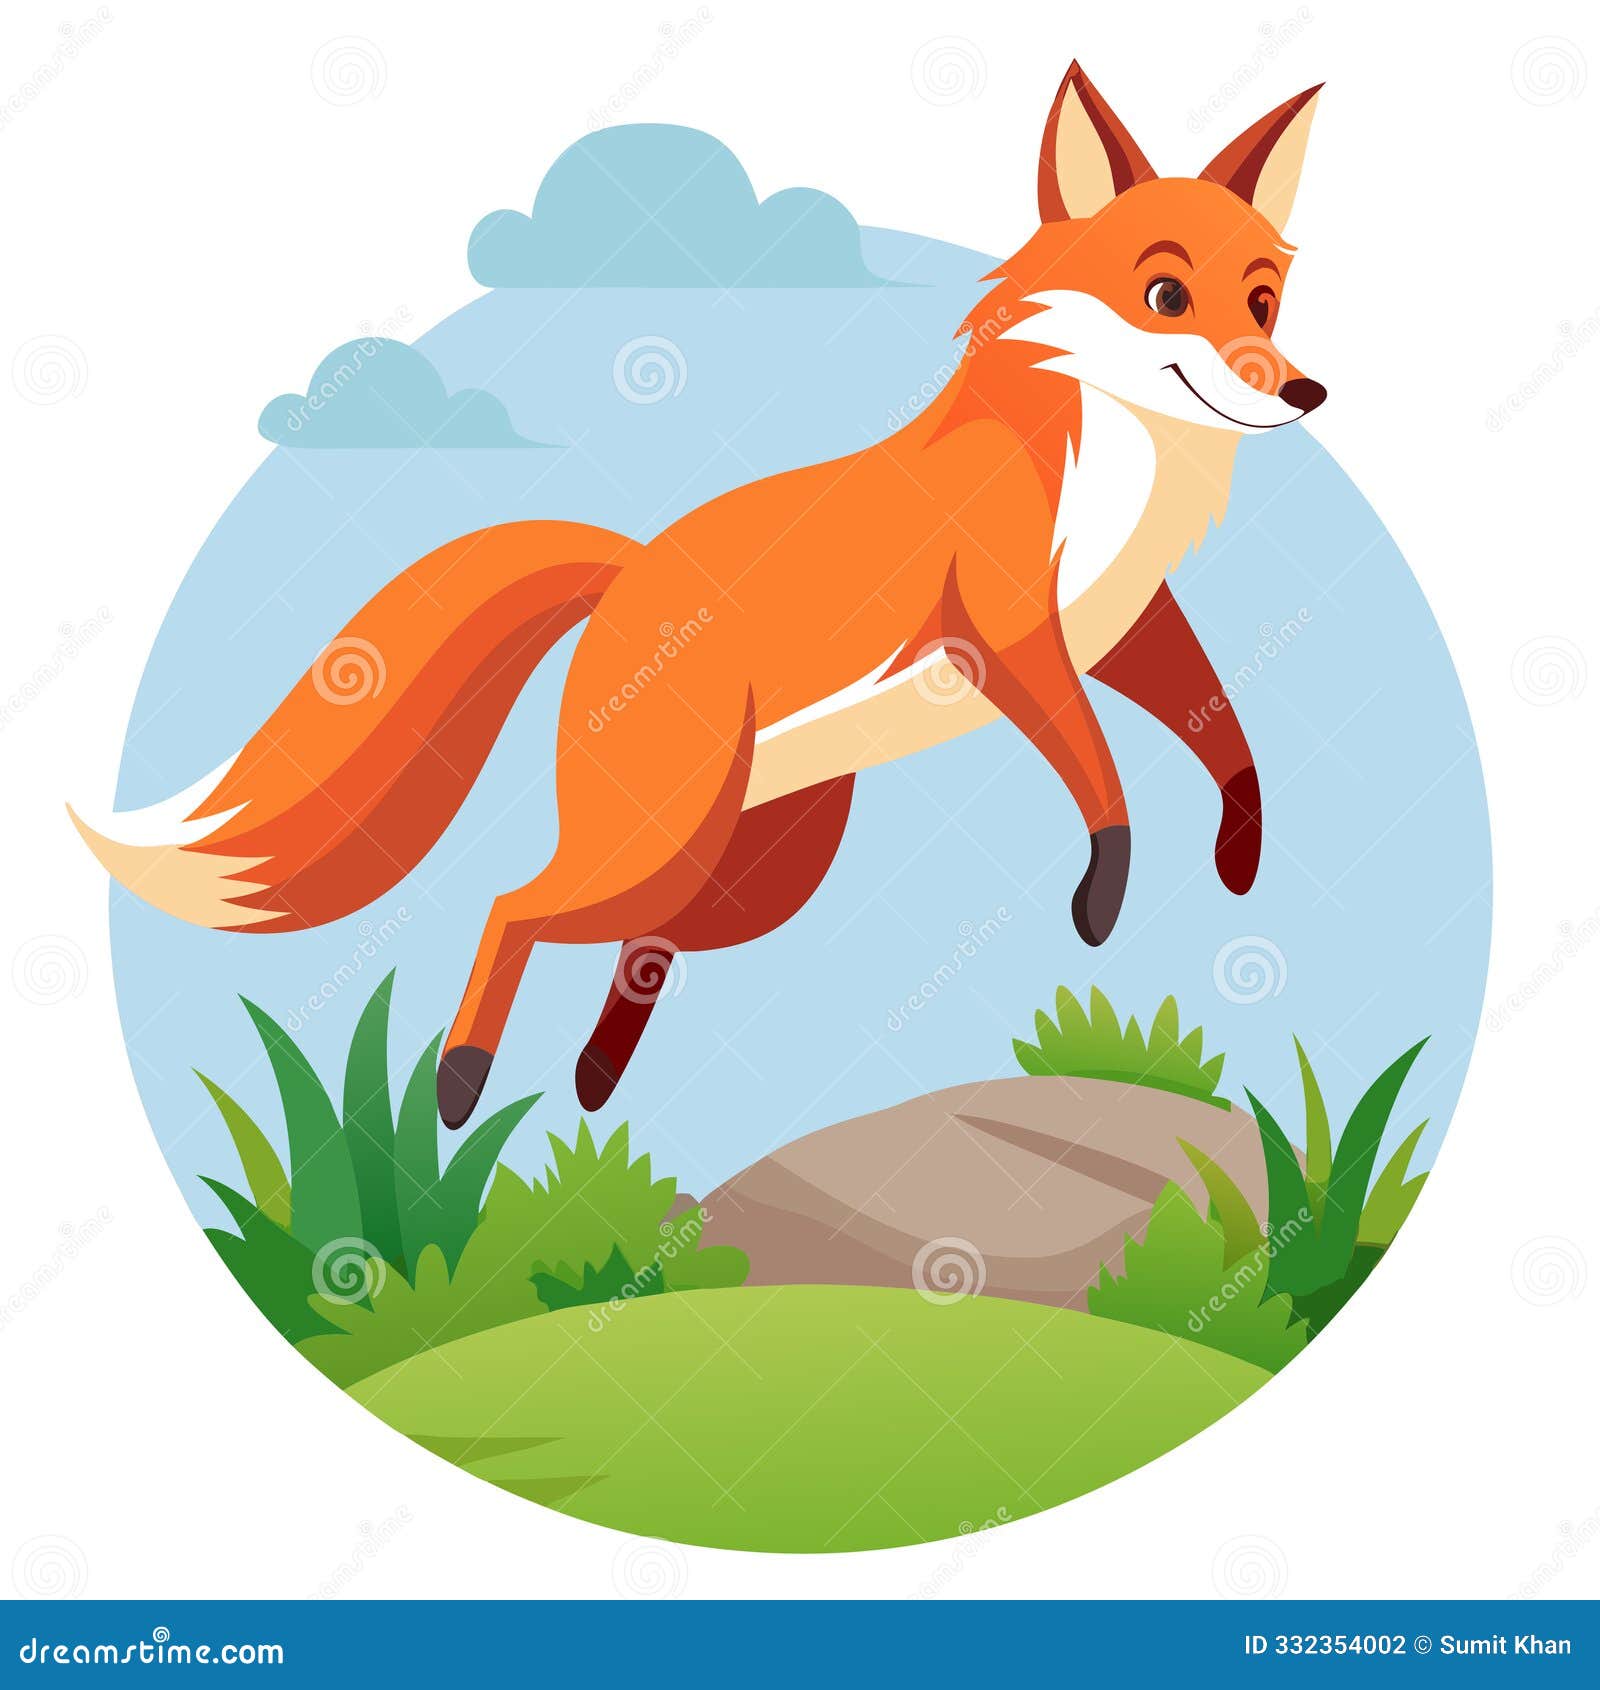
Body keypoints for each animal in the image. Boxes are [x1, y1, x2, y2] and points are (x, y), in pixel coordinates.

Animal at [75, 64, 1326, 1131]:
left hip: (756, 863)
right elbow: (1103, 773)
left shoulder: (1122, 627)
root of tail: (631, 567)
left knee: (638, 944)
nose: (1302, 392)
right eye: (1165, 292)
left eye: (1265, 303)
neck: (1102, 460)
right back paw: (463, 1083)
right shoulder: (1007, 633)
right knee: (513, 905)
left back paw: (591, 1079)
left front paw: (1243, 853)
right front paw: (1105, 889)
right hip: (664, 832)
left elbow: (1226, 735)